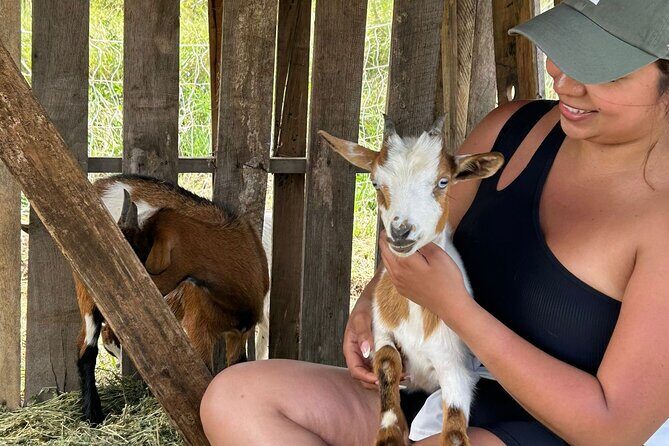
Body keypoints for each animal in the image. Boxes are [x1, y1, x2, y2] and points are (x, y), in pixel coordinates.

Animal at [74, 174, 269, 424]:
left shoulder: (240, 333)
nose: (106, 288)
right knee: (86, 349)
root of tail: (100, 185)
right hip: (86, 294)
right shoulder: (197, 328)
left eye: (137, 254)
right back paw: (93, 415)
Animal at [319, 117, 503, 446]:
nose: (401, 231)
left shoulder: (455, 365)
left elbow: (454, 431)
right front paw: (390, 432)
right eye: (375, 182)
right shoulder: (381, 333)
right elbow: (388, 361)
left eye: (443, 182)